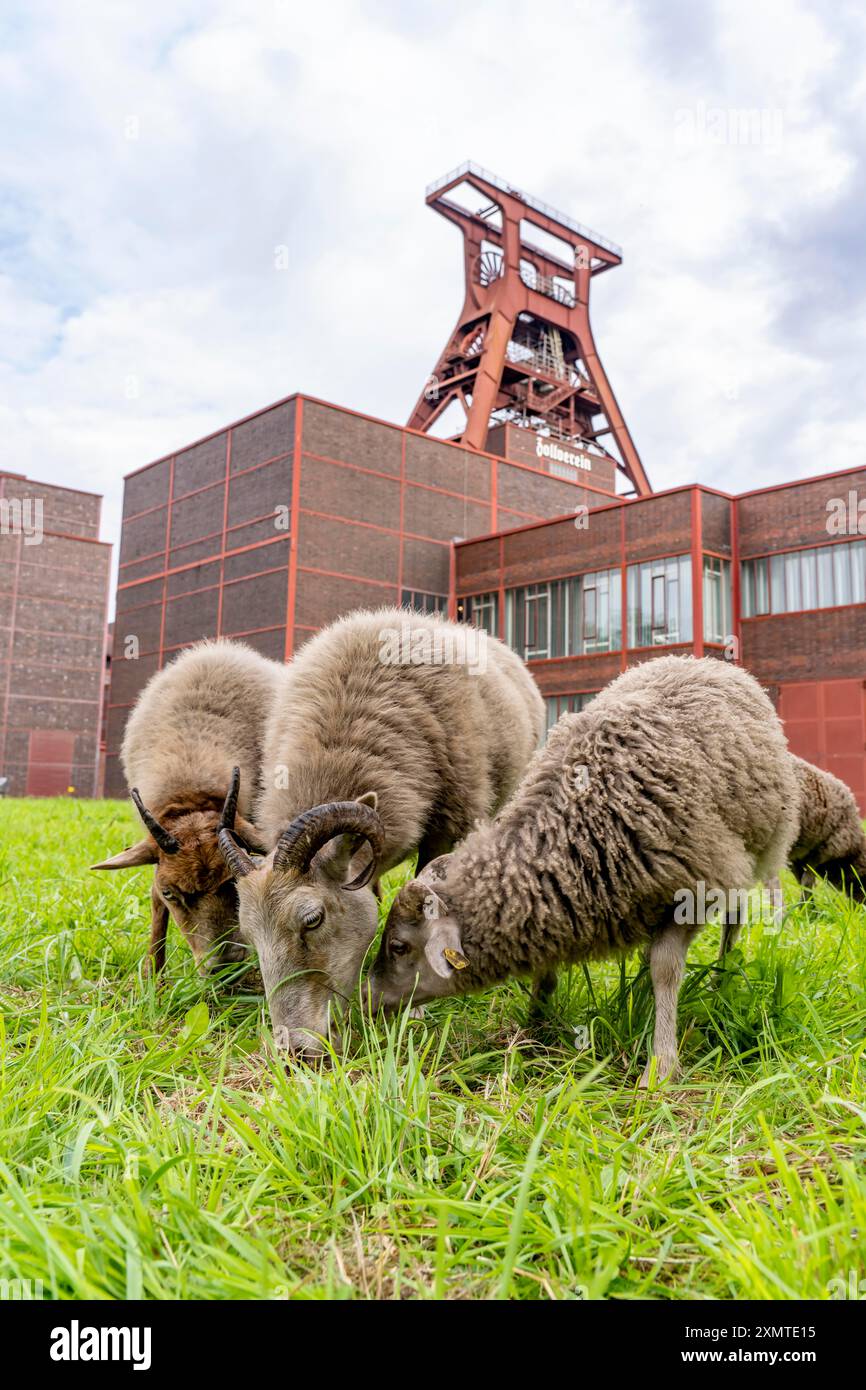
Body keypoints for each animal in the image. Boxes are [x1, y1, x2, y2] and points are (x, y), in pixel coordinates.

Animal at [367, 655, 799, 1086]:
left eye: (399, 946)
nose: (367, 999)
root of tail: (703, 661)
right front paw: (535, 1024)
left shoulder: (692, 888)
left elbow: (666, 969)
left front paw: (661, 1065)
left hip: (755, 850)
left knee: (734, 919)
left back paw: (721, 979)